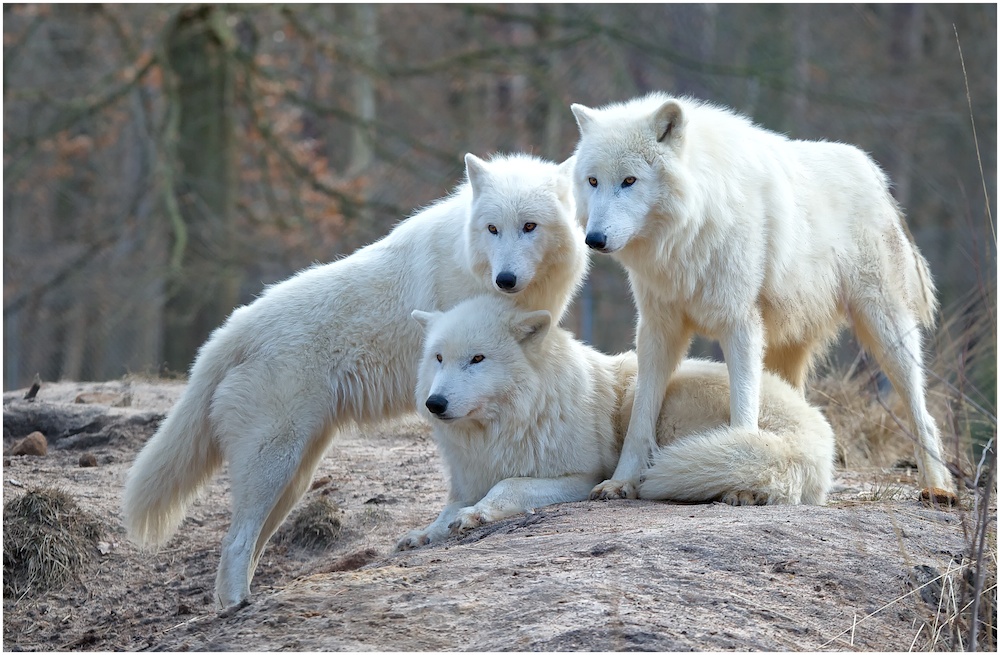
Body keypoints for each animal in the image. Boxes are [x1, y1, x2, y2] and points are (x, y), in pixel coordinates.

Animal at [119, 151, 584, 608]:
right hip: (274, 462)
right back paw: (238, 607)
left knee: (247, 545)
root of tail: (232, 330)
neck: (471, 264)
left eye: (529, 227)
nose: (505, 279)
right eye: (493, 229)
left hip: (294, 475)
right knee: (234, 543)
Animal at [394, 296, 832, 548]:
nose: (435, 403)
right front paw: (422, 534)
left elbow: (508, 485)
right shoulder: (468, 478)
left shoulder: (580, 476)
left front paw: (477, 515)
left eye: (477, 359)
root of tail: (814, 428)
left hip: (654, 399)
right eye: (438, 358)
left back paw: (738, 494)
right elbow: (446, 510)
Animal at [572, 91, 952, 502]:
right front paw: (622, 481)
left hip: (886, 330)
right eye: (593, 181)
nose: (594, 239)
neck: (693, 226)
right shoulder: (659, 328)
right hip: (787, 348)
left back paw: (938, 487)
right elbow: (641, 415)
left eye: (629, 181)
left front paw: (738, 481)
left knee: (923, 414)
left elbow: (743, 406)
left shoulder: (740, 324)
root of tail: (874, 173)